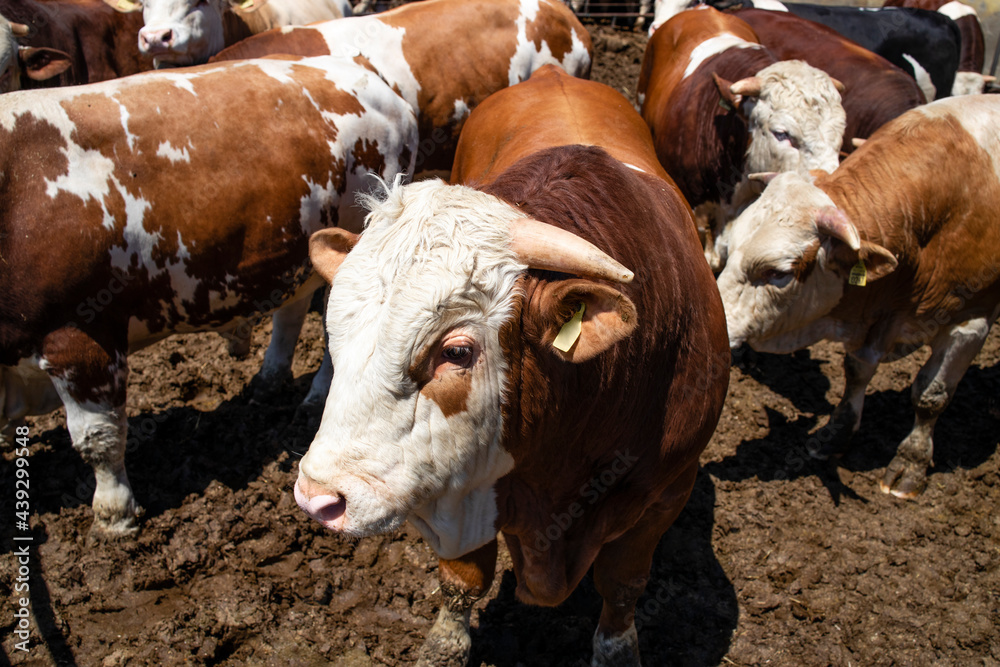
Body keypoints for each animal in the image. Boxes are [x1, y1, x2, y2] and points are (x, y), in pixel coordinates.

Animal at [0, 54, 417, 536]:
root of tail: (366, 75)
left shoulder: (81, 335)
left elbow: (97, 440)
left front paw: (114, 513)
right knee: (294, 310)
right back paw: (268, 380)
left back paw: (315, 395)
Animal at [294, 64, 729, 665]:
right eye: (335, 332)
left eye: (456, 351)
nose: (319, 498)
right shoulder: (460, 481)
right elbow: (463, 579)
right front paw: (445, 643)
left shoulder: (667, 491)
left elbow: (623, 585)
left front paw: (617, 648)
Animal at [717, 94, 1000, 499]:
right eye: (730, 251)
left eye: (779, 274)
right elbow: (857, 372)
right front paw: (834, 435)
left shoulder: (970, 322)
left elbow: (932, 395)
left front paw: (910, 464)